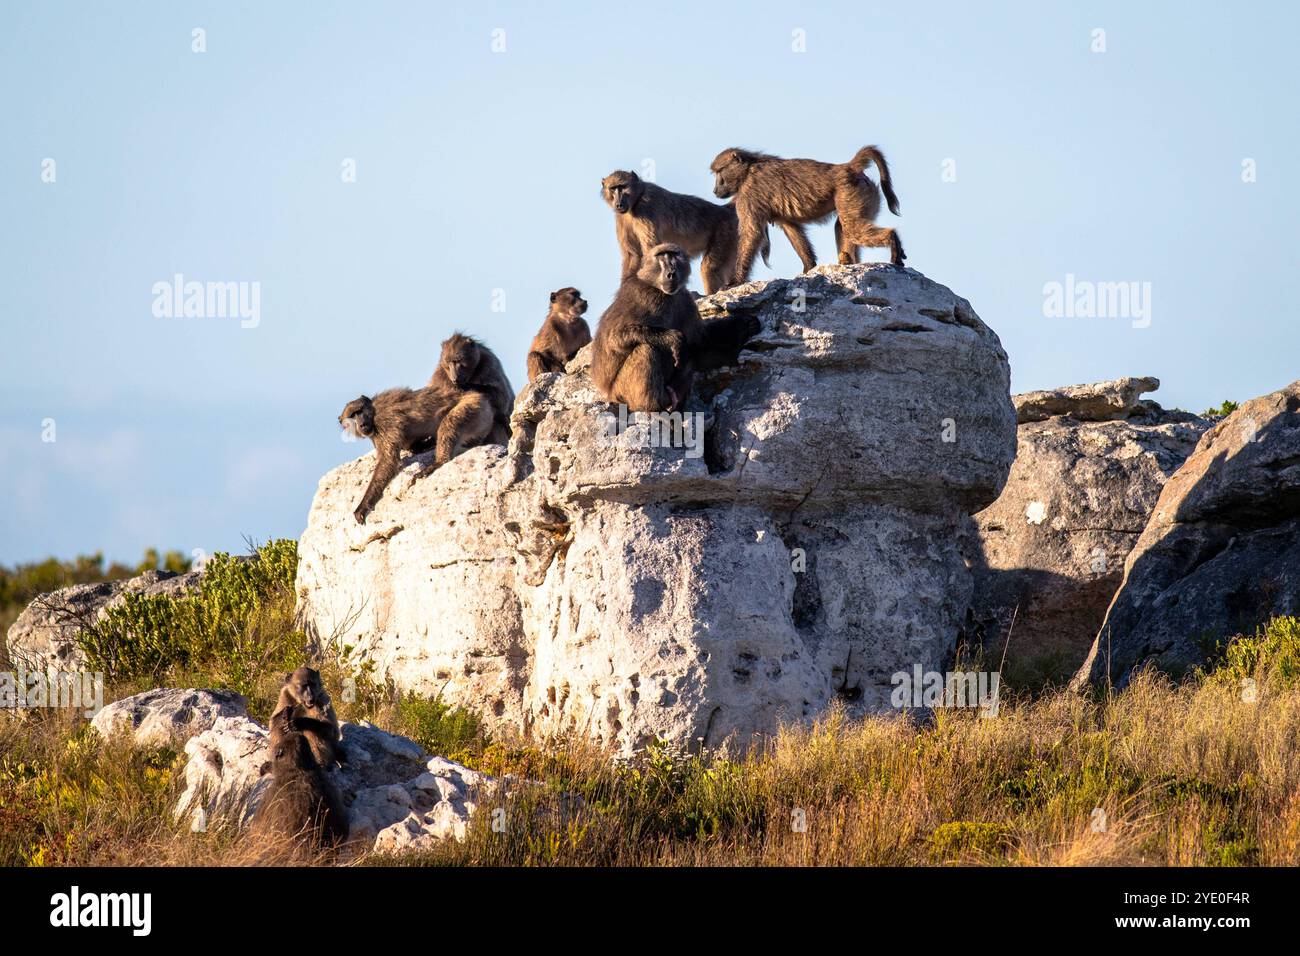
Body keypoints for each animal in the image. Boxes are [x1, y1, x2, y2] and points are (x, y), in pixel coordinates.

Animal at [590, 243, 760, 413]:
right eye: (661, 256)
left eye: (674, 255)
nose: (671, 273)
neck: (661, 291)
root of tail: (609, 394)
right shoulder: (647, 298)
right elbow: (615, 337)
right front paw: (675, 339)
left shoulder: (684, 299)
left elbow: (700, 340)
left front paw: (744, 325)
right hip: (622, 391)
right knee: (647, 349)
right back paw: (652, 406)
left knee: (689, 357)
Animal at [601, 170, 770, 295]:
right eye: (613, 189)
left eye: (622, 187)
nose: (618, 203)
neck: (636, 200)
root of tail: (725, 209)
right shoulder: (621, 218)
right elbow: (633, 255)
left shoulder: (646, 209)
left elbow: (651, 249)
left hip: (727, 233)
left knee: (709, 268)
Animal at [709, 145, 905, 285]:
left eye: (719, 172)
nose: (715, 191)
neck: (748, 169)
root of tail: (848, 167)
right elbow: (792, 229)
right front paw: (809, 267)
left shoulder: (748, 194)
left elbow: (752, 234)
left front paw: (735, 282)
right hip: (865, 192)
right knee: (843, 227)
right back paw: (848, 262)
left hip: (850, 192)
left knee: (852, 229)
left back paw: (892, 241)